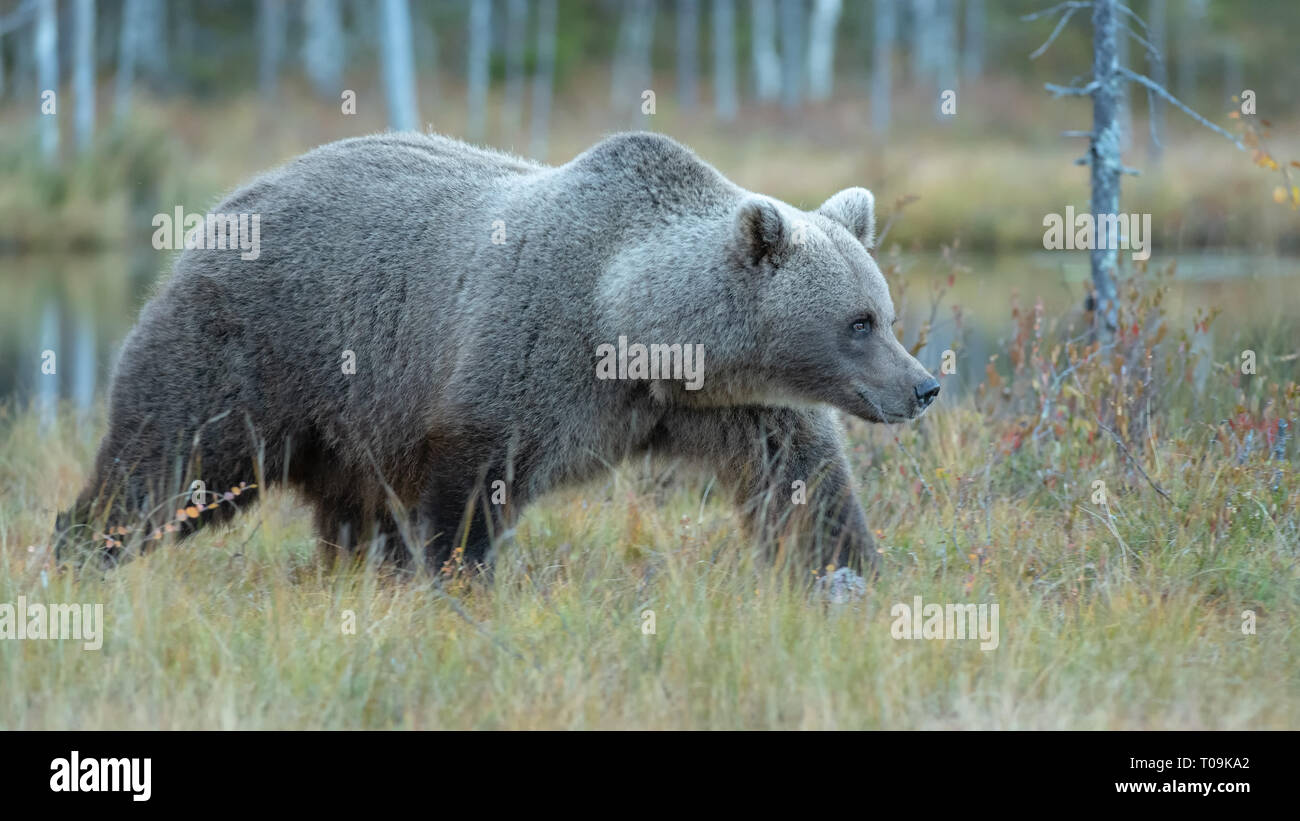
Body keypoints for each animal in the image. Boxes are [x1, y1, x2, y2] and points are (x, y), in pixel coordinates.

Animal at [54, 131, 939, 576]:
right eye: (860, 321)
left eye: (887, 314)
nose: (924, 384)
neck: (640, 337)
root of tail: (221, 207)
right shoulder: (521, 359)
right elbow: (472, 489)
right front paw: (460, 579)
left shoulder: (737, 405)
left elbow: (803, 482)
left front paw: (843, 571)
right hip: (259, 345)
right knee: (172, 460)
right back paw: (83, 547)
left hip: (349, 416)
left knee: (347, 506)